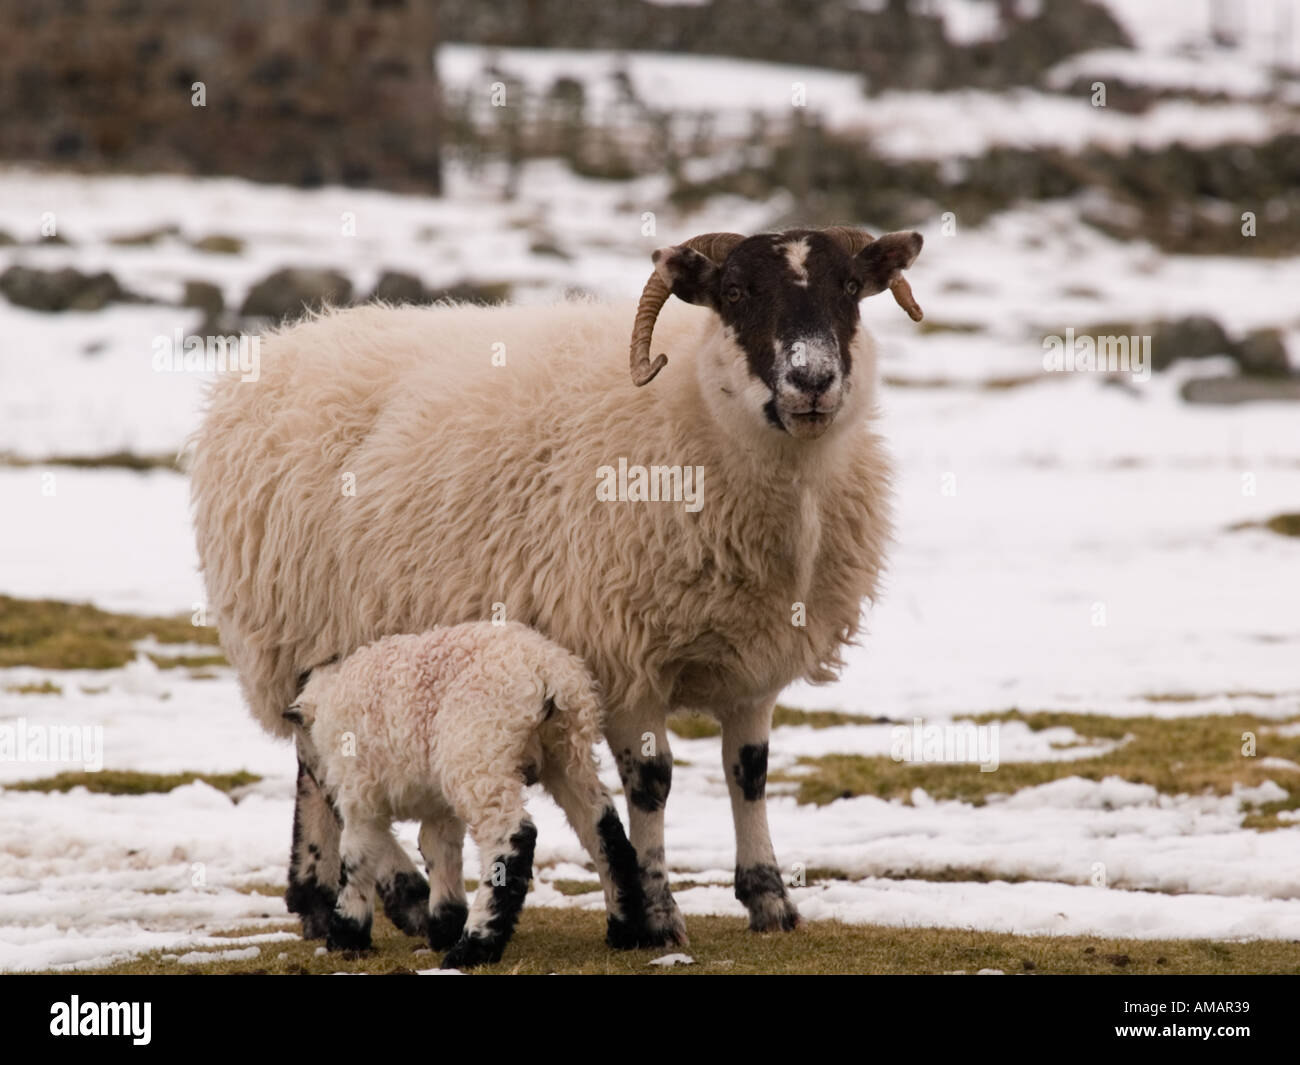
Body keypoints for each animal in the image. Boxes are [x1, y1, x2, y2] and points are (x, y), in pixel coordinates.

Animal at [284, 622, 648, 968]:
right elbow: (439, 851)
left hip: (479, 753)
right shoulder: (437, 805)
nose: (312, 773)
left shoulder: (360, 793)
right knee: (601, 825)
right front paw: (444, 926)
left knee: (511, 836)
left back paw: (475, 946)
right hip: (566, 752)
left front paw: (346, 935)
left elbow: (357, 856)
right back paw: (625, 928)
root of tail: (549, 672)